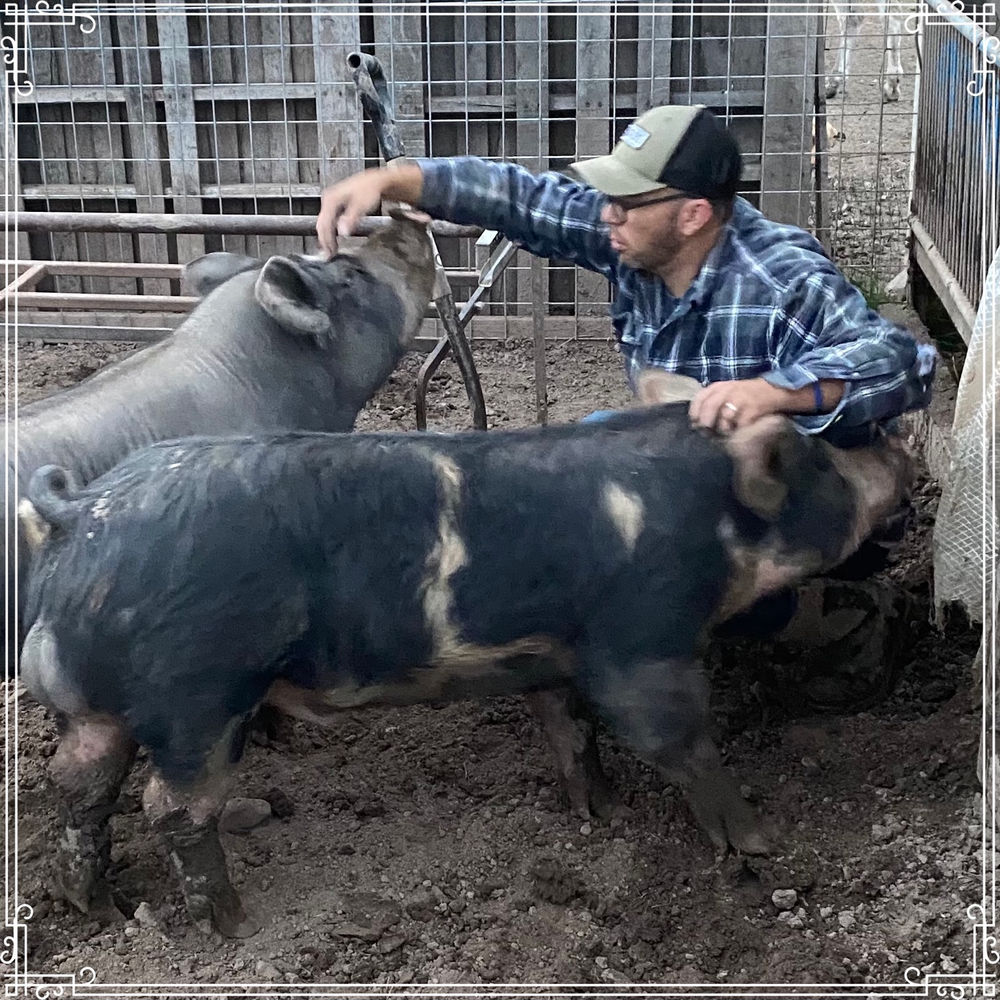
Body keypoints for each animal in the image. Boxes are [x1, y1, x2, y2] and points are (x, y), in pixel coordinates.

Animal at [18, 370, 912, 936]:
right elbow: (678, 739)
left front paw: (597, 813)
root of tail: (80, 515)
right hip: (197, 695)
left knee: (79, 786)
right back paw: (233, 927)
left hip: (95, 709)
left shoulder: (555, 653)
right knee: (168, 806)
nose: (896, 443)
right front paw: (763, 842)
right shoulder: (642, 639)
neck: (700, 520)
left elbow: (568, 729)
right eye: (818, 460)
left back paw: (92, 908)